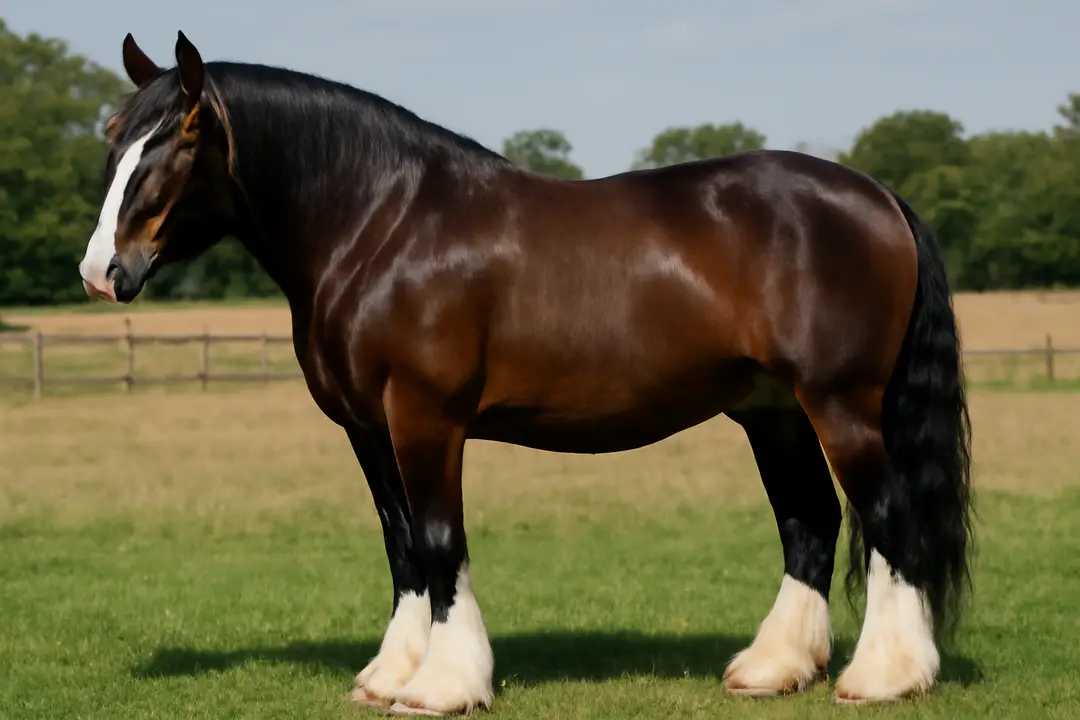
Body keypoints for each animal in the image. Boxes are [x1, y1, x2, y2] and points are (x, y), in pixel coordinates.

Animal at [78, 31, 974, 715]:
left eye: (184, 136)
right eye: (116, 136)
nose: (102, 271)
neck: (382, 226)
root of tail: (877, 196)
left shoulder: (426, 419)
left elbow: (440, 541)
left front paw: (444, 684)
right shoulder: (368, 428)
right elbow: (402, 545)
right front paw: (391, 674)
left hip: (840, 404)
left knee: (888, 520)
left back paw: (885, 676)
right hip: (772, 410)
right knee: (810, 522)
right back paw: (775, 667)